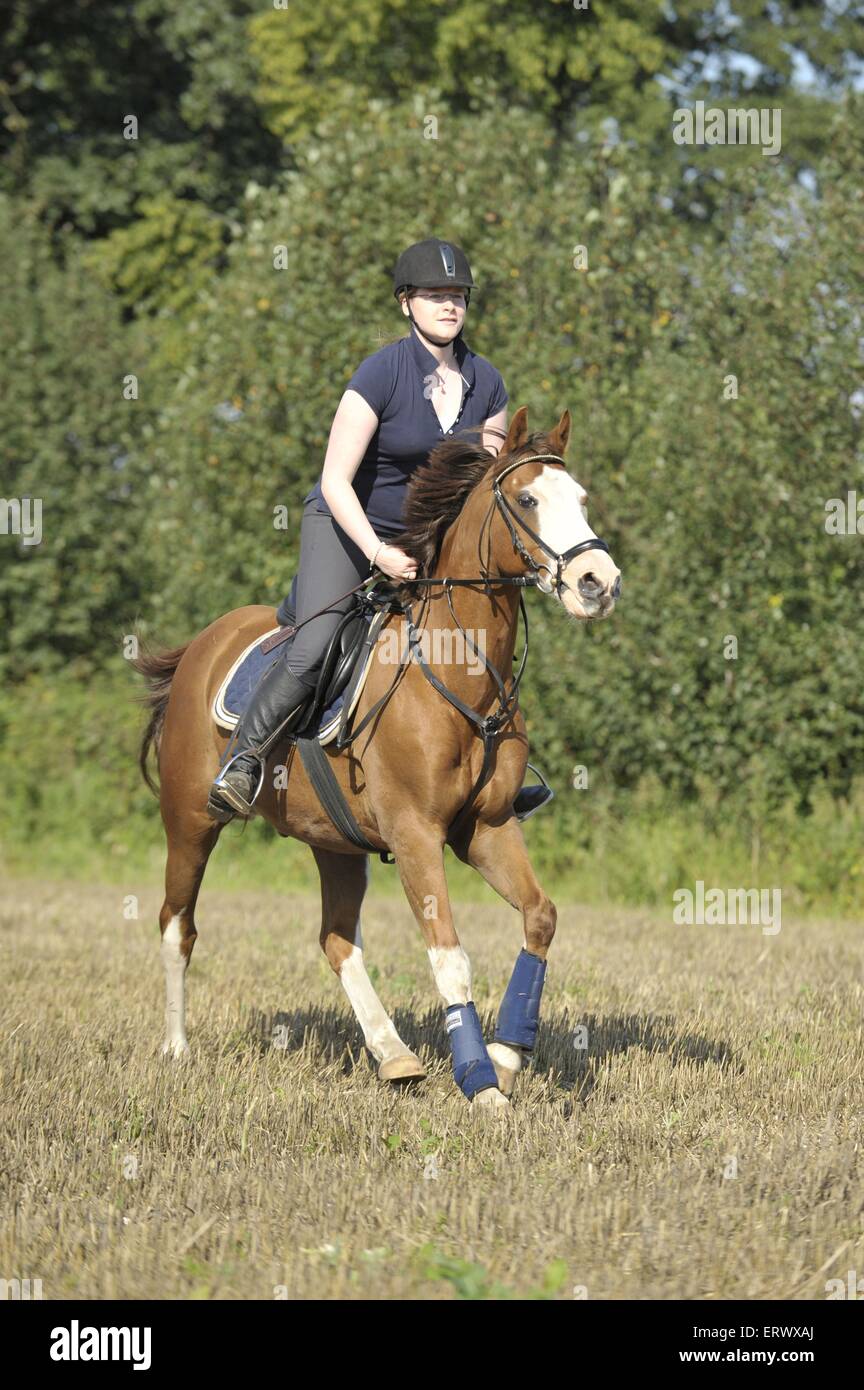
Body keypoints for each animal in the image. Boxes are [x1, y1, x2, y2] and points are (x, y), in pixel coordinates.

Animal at [134, 406, 621, 1107]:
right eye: (528, 499)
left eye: (580, 499)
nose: (599, 583)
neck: (458, 670)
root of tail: (204, 642)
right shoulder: (416, 834)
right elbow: (450, 957)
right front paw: (481, 1084)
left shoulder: (487, 829)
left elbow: (540, 918)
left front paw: (506, 1055)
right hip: (190, 820)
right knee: (179, 925)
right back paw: (176, 1049)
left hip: (333, 840)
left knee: (336, 939)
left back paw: (393, 1055)